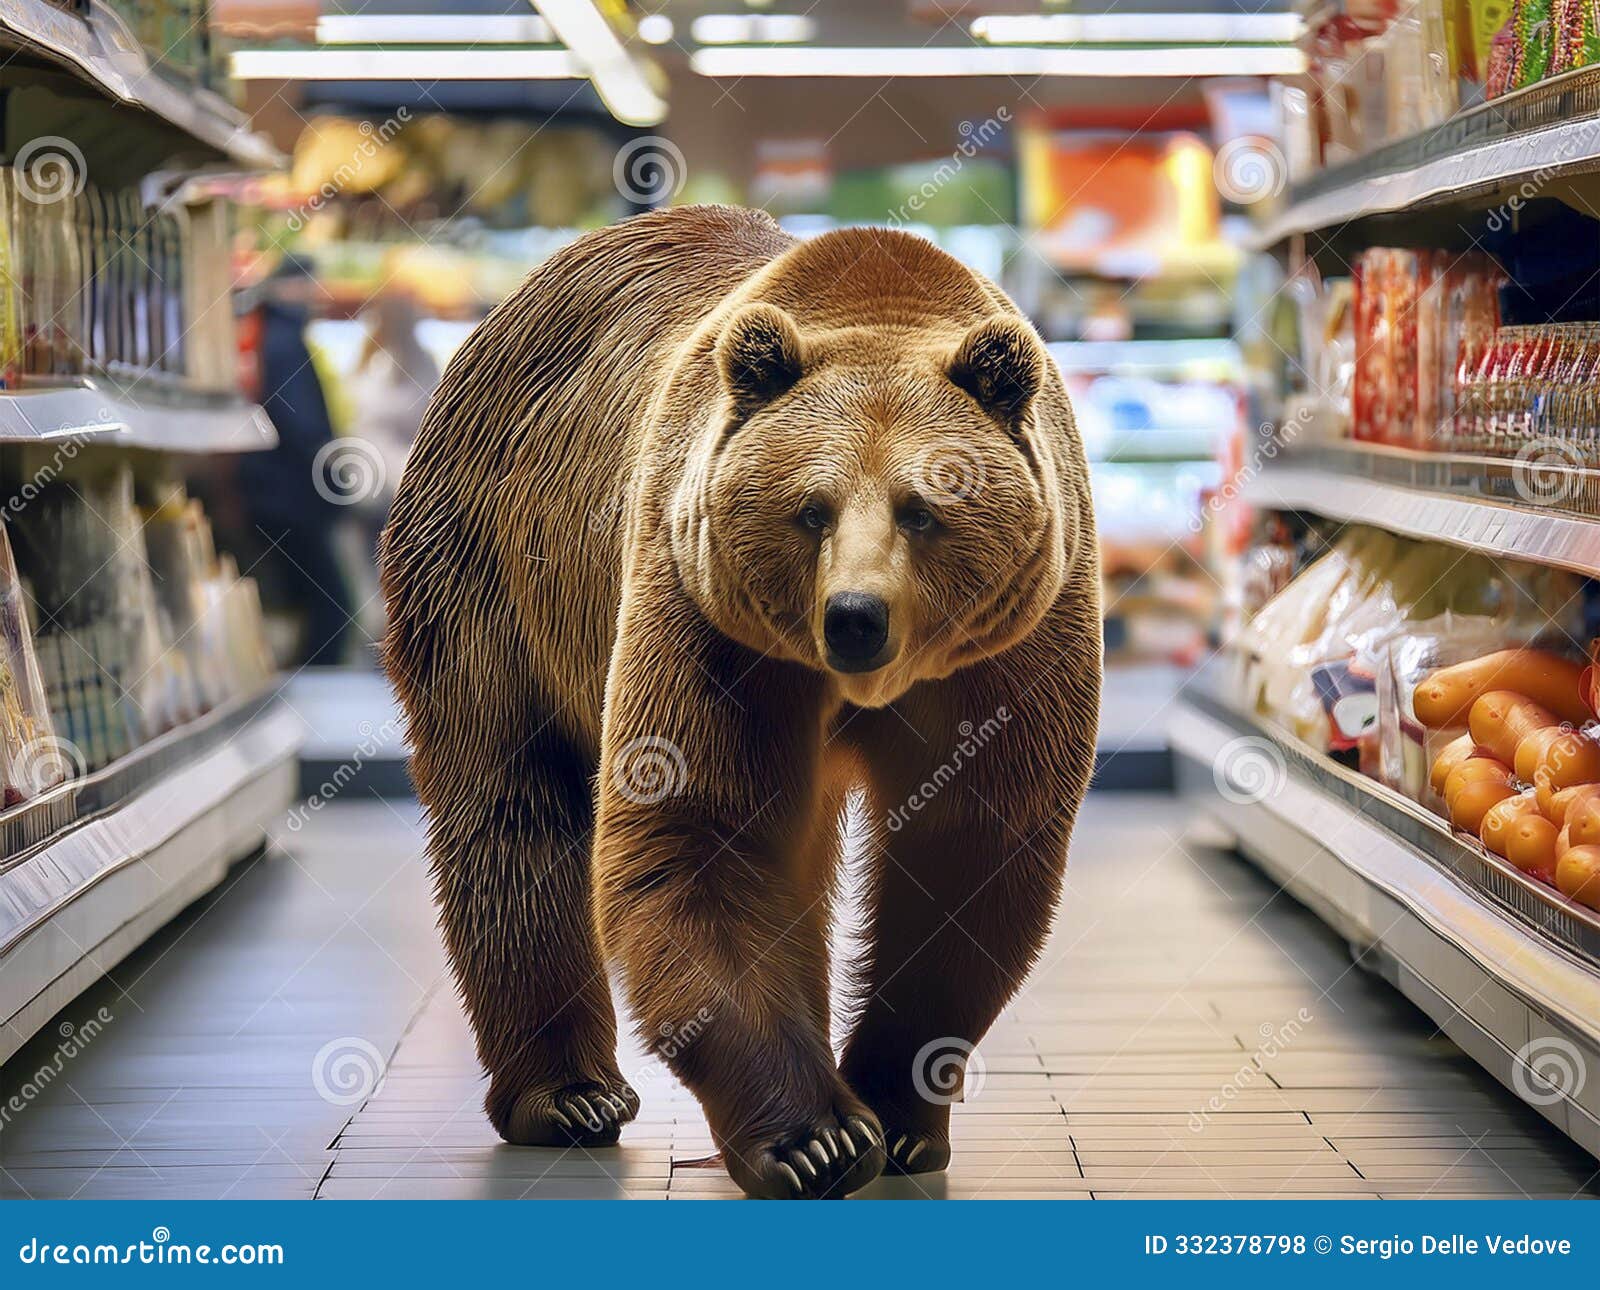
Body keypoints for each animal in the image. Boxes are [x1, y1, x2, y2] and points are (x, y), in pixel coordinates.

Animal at [379, 204, 1100, 1199]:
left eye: (922, 508)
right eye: (812, 507)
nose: (855, 617)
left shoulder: (1010, 648)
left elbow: (970, 849)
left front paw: (898, 1116)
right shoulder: (708, 610)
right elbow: (702, 829)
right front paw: (815, 1137)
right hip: (494, 570)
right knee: (512, 801)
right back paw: (569, 1095)